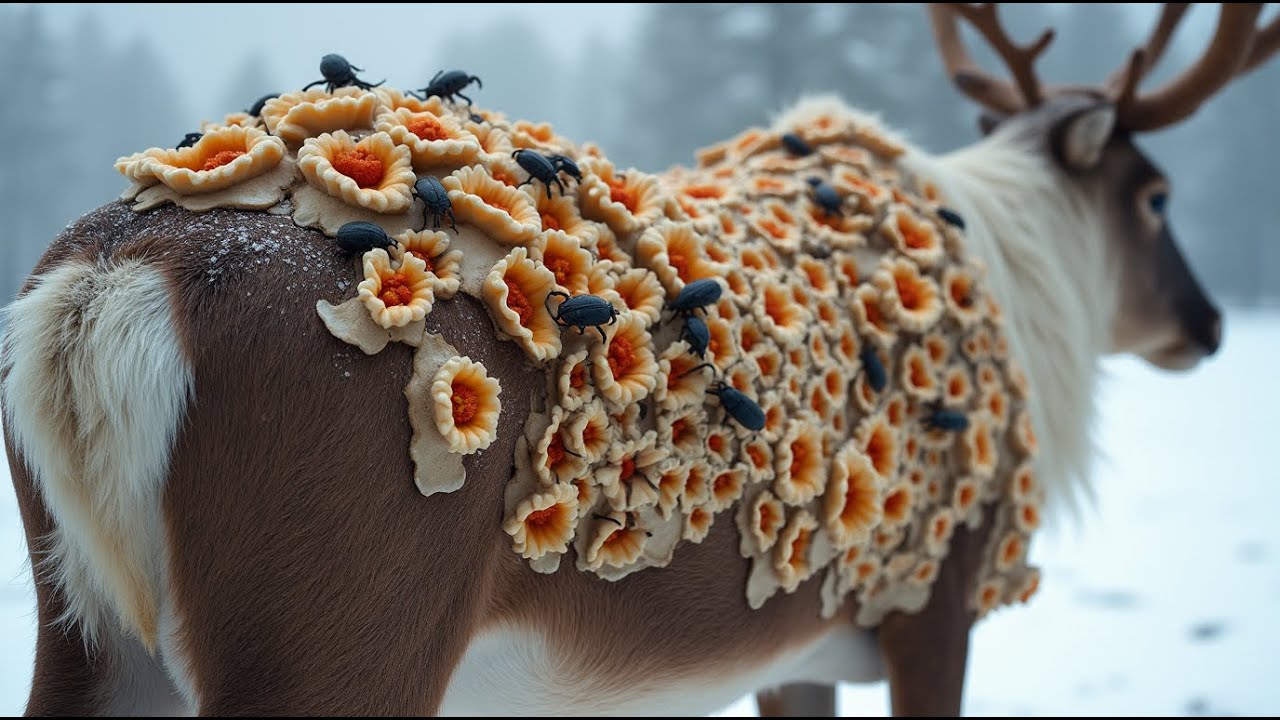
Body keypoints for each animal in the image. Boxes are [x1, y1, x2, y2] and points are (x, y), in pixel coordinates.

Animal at [2, 3, 1276, 716]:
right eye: (1156, 198)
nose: (1208, 326)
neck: (1023, 288)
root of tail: (109, 282)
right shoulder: (935, 606)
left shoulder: (798, 643)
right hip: (329, 641)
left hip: (85, 628)